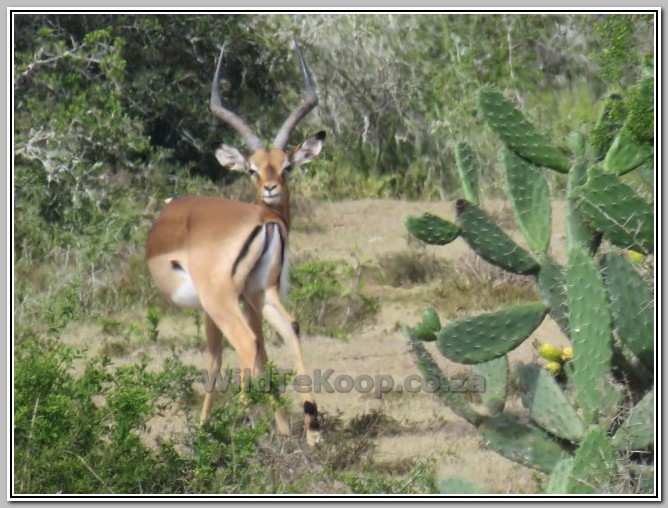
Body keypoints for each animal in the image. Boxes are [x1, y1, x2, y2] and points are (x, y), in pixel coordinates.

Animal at [146, 40, 325, 446]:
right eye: (253, 169)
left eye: (287, 166)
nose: (271, 188)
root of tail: (263, 220)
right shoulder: (250, 298)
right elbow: (263, 355)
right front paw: (283, 426)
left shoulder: (212, 306)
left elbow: (213, 362)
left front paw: (203, 429)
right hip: (262, 293)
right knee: (288, 329)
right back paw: (312, 428)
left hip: (222, 299)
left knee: (245, 343)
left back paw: (241, 426)